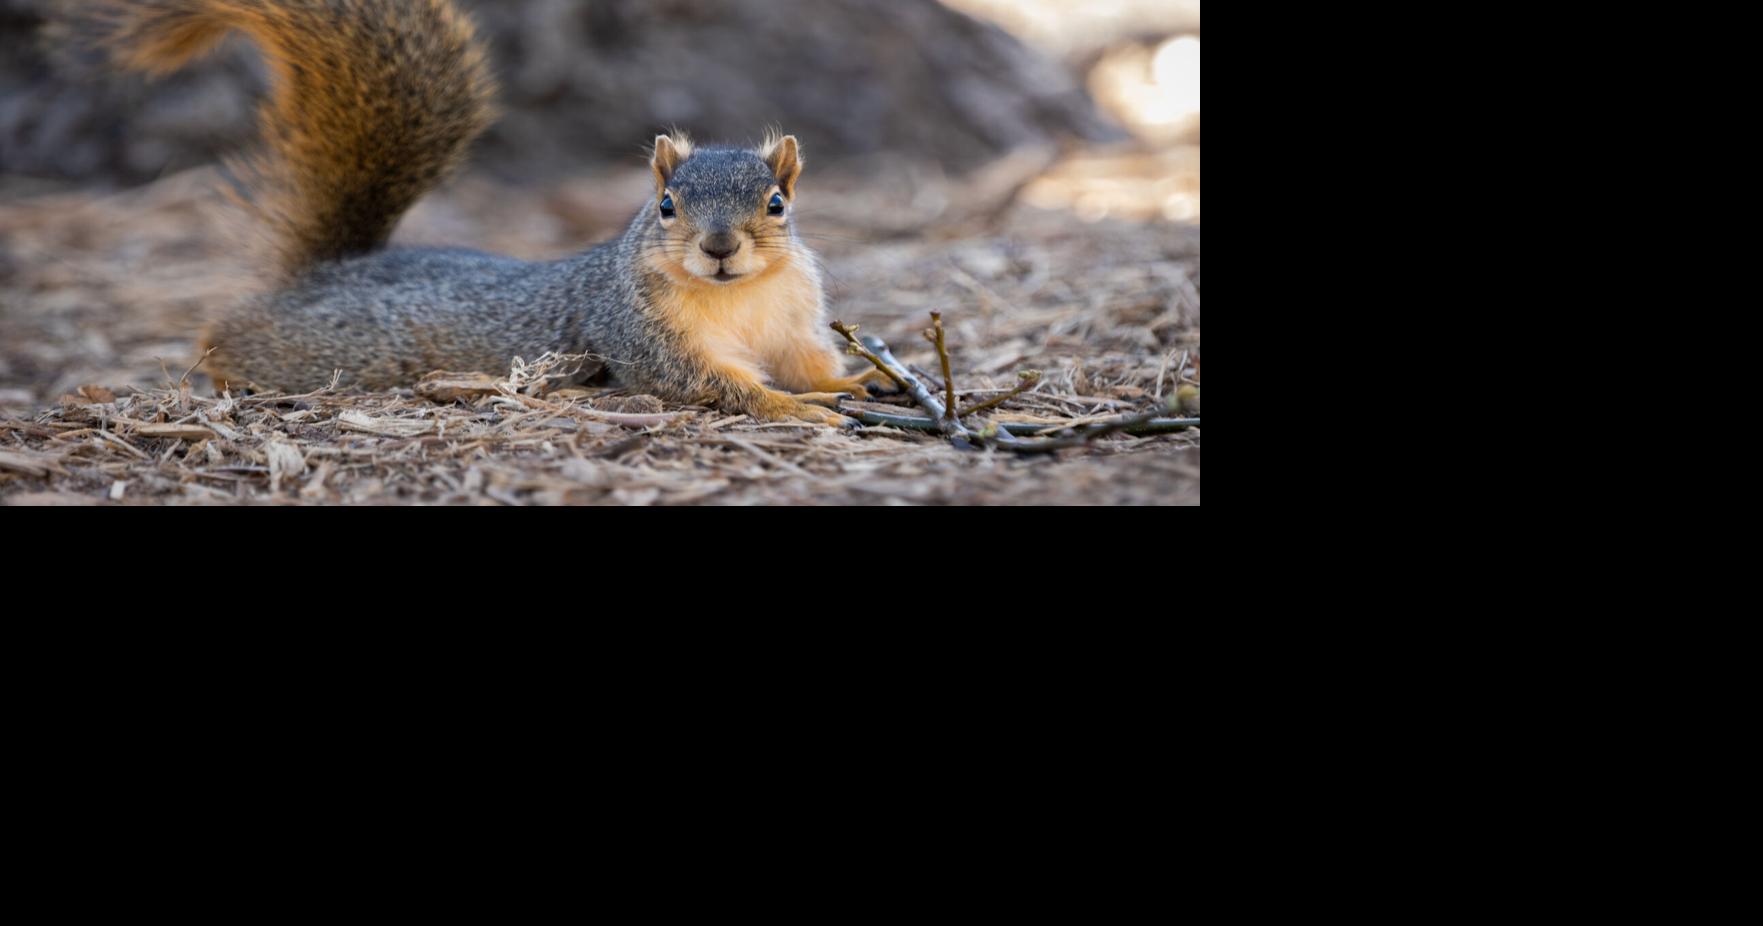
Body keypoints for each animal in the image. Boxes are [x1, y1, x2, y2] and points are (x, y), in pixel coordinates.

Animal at [69, 0, 891, 426]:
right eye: (665, 205)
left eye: (776, 203)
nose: (719, 247)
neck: (735, 298)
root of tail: (330, 270)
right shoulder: (646, 341)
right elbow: (717, 385)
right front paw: (803, 411)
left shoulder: (792, 322)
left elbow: (809, 362)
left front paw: (853, 384)